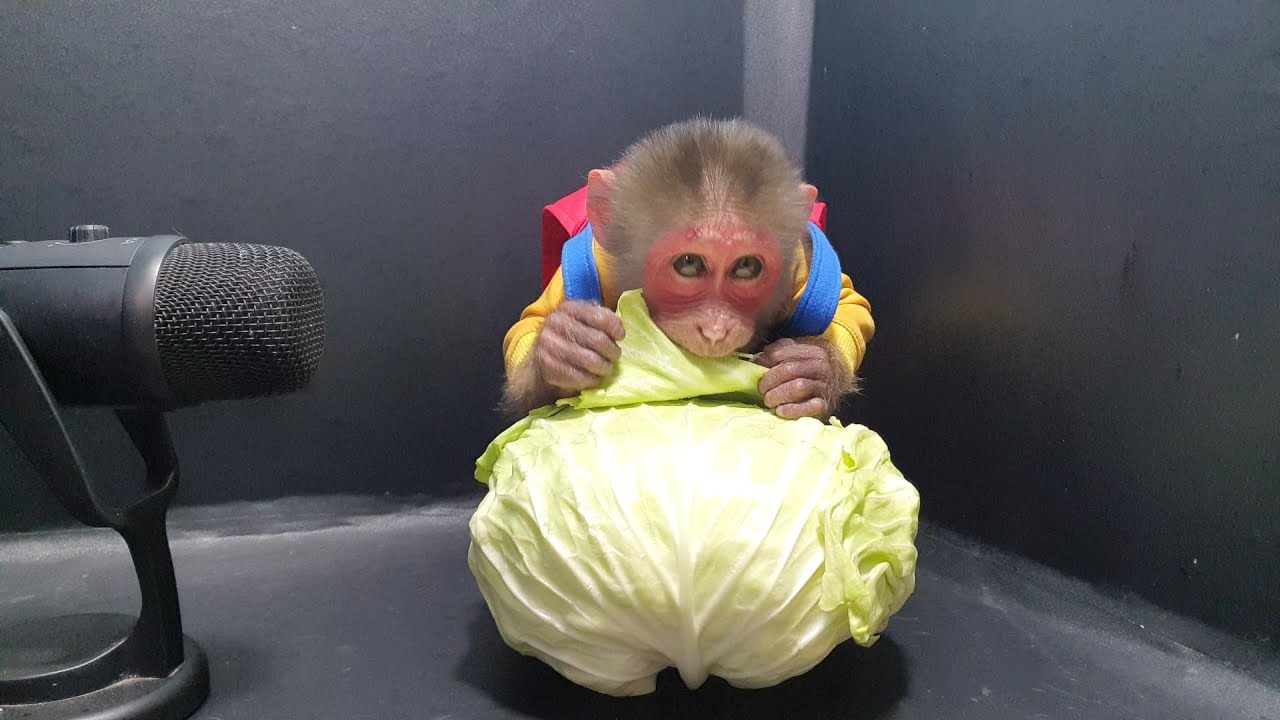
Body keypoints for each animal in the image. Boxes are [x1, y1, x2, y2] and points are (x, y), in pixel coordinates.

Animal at [501, 118, 875, 421]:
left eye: (746, 266)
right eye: (688, 264)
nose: (715, 331)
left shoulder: (798, 264)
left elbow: (850, 301)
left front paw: (812, 371)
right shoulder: (597, 265)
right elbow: (527, 324)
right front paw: (565, 347)